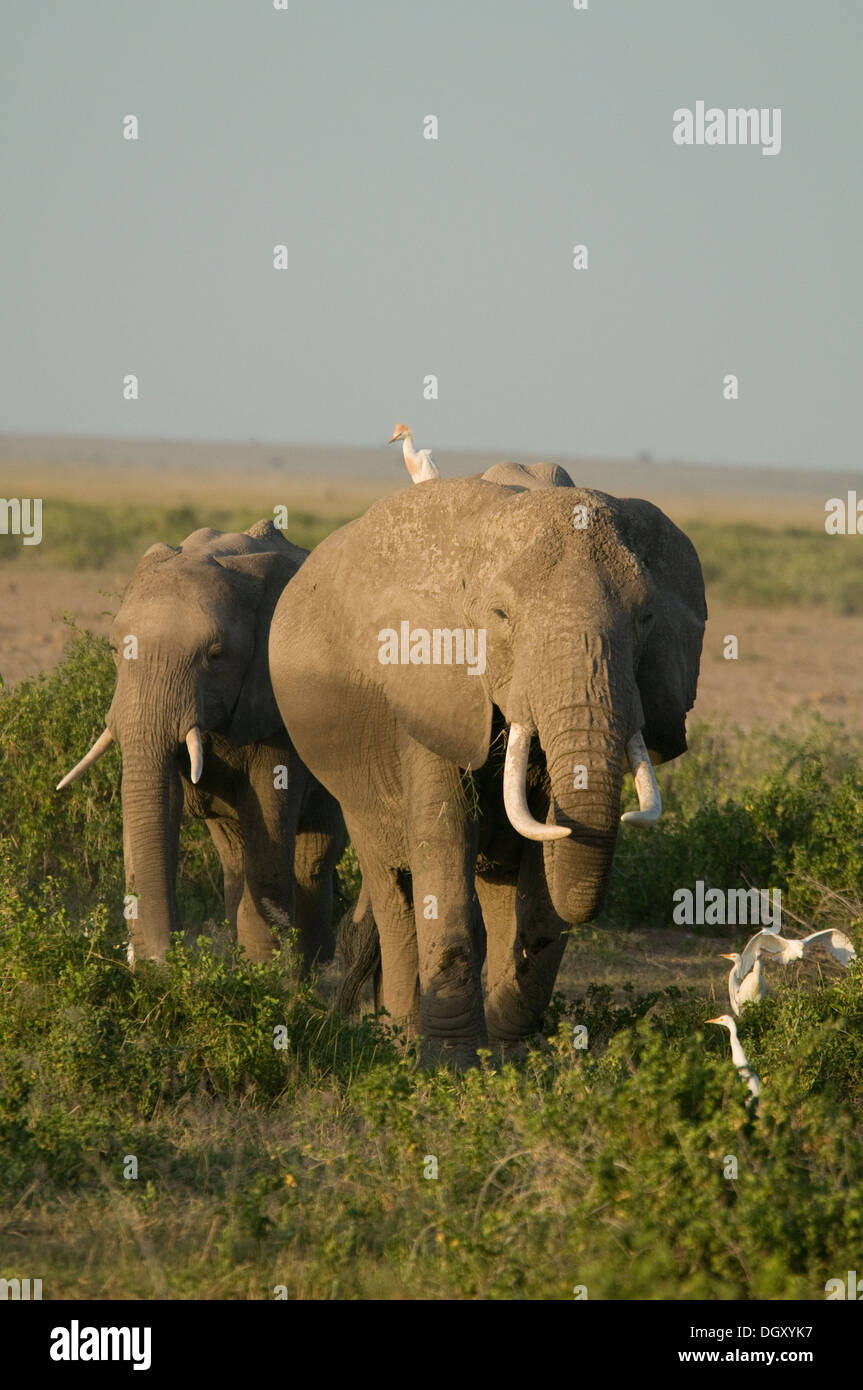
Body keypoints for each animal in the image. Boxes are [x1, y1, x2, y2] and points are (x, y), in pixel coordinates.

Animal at [57, 520, 346, 969]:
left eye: (216, 655)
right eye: (113, 649)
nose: (159, 959)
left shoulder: (277, 705)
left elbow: (270, 818)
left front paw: (265, 975)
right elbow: (164, 797)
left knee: (313, 857)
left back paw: (312, 973)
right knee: (234, 854)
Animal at [268, 473, 706, 1064]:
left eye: (646, 619)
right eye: (500, 617)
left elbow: (538, 887)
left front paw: (512, 1058)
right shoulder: (431, 686)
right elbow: (445, 841)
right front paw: (450, 1063)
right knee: (394, 889)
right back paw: (399, 1038)